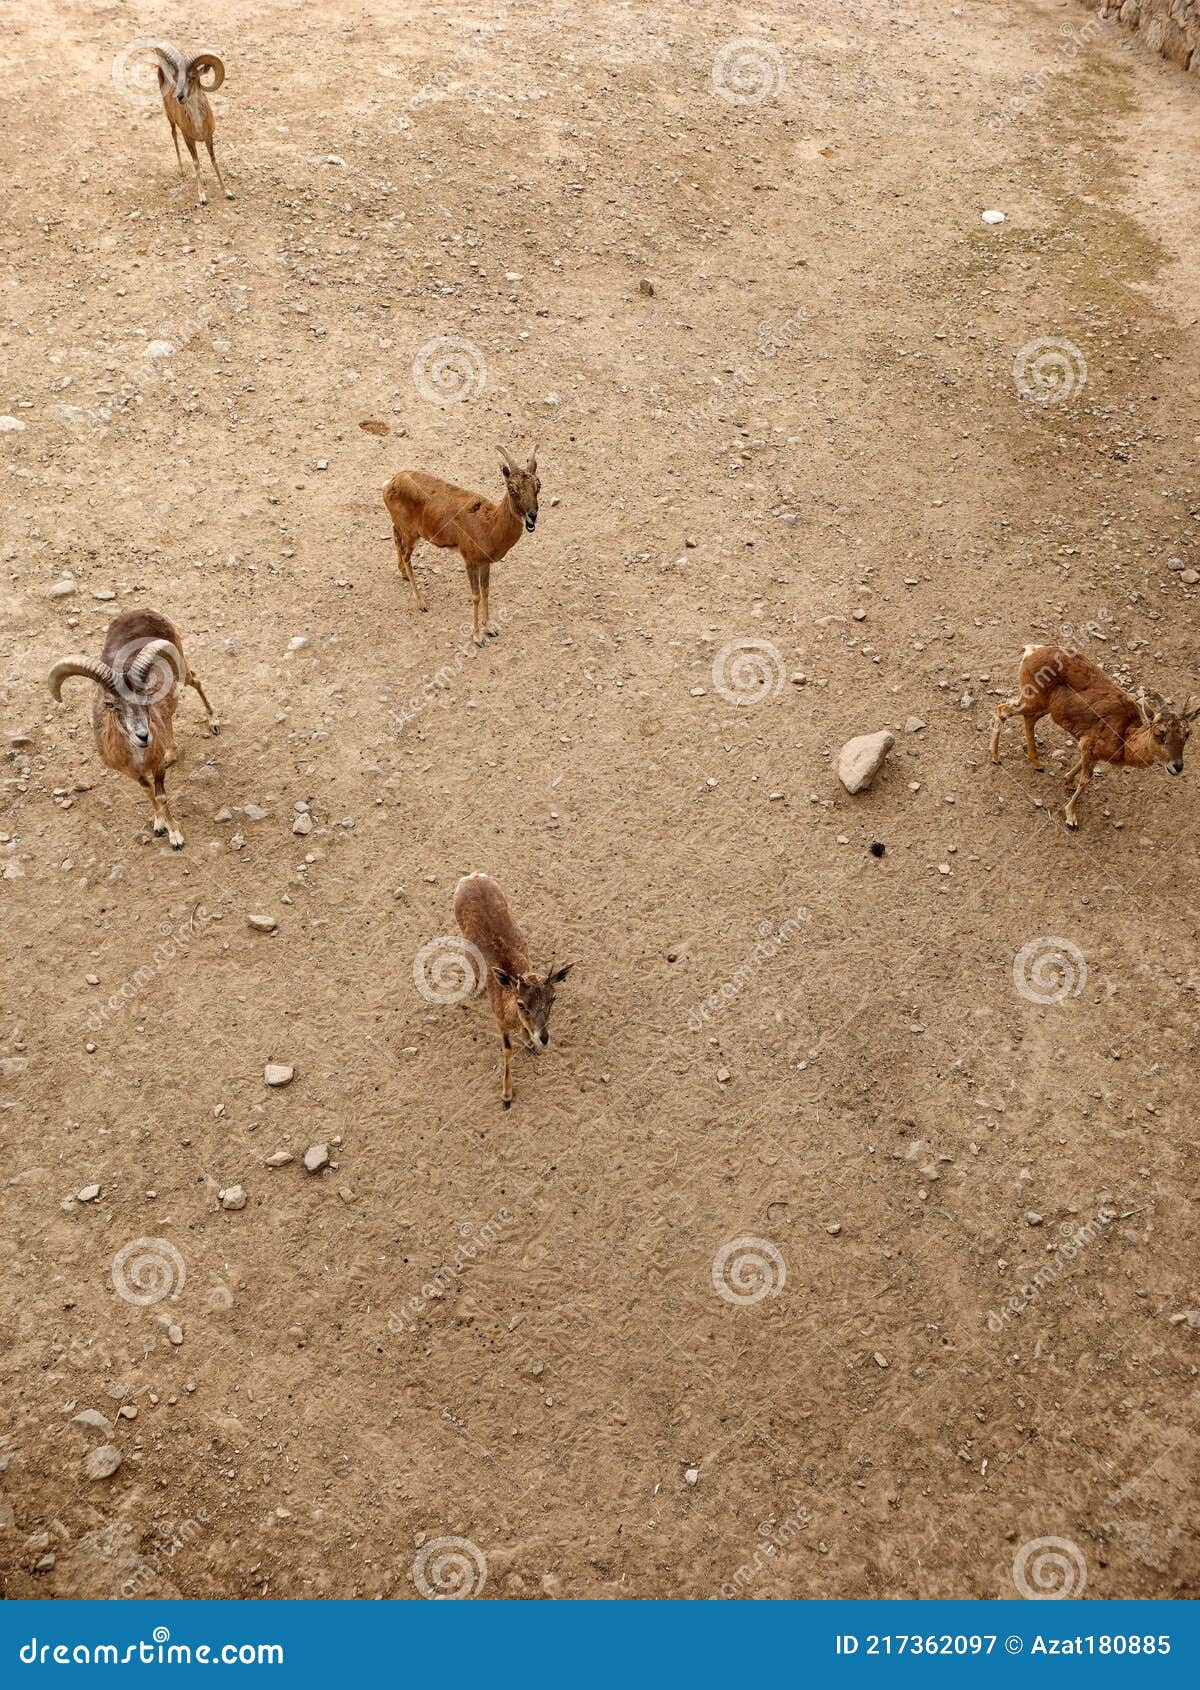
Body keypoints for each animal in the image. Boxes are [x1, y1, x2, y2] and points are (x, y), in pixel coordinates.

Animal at [48, 610, 218, 850]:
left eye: (146, 695)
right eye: (110, 704)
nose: (143, 736)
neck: (139, 758)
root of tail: (142, 612)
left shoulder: (156, 767)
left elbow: (160, 796)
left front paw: (175, 837)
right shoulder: (132, 773)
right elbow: (148, 792)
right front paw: (159, 825)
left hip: (182, 671)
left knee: (196, 680)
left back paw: (214, 723)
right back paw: (172, 754)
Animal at [154, 47, 232, 206]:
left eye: (192, 77)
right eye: (176, 78)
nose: (179, 97)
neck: (197, 121)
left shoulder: (209, 137)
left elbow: (214, 161)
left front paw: (227, 192)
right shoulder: (189, 139)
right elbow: (196, 163)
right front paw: (202, 197)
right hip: (170, 118)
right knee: (174, 135)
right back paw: (182, 170)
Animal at [383, 447, 539, 646]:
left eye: (538, 485)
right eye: (511, 488)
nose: (531, 517)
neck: (490, 526)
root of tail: (390, 482)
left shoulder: (485, 563)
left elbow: (486, 591)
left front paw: (490, 628)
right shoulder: (470, 560)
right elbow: (476, 596)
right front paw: (477, 637)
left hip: (401, 527)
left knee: (396, 540)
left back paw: (403, 574)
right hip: (411, 533)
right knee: (406, 555)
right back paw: (421, 602)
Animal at [453, 873, 573, 1108]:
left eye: (553, 997)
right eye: (521, 1003)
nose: (544, 1038)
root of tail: (472, 876)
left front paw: (530, 1044)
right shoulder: (499, 1022)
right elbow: (507, 1049)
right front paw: (506, 1096)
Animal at [990, 643, 1198, 829]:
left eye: (1187, 734)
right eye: (1159, 733)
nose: (1177, 767)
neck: (1124, 737)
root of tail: (1031, 649)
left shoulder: (1090, 748)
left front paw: (1067, 780)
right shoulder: (1089, 745)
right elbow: (1087, 780)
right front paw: (1071, 817)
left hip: (1042, 706)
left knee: (1027, 719)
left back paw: (1037, 764)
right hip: (1033, 699)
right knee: (1002, 709)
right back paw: (996, 758)